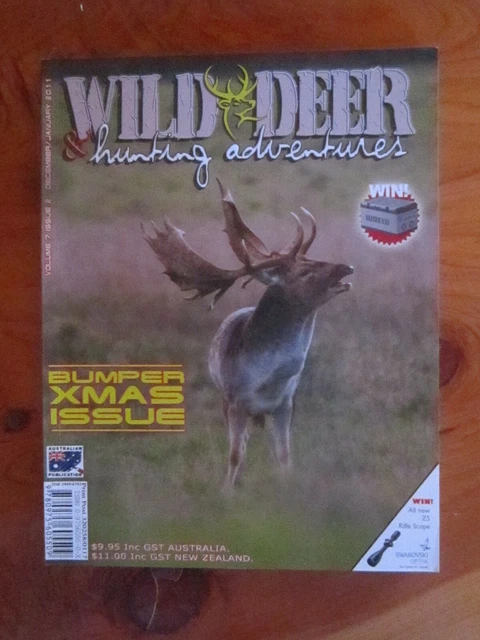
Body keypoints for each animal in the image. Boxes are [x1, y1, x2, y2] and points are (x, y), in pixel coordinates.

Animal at [142, 179, 353, 488]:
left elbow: (284, 454)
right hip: (223, 398)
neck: (269, 381)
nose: (346, 267)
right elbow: (234, 454)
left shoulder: (285, 404)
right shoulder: (236, 401)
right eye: (304, 272)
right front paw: (227, 490)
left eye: (314, 259)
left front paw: (287, 484)